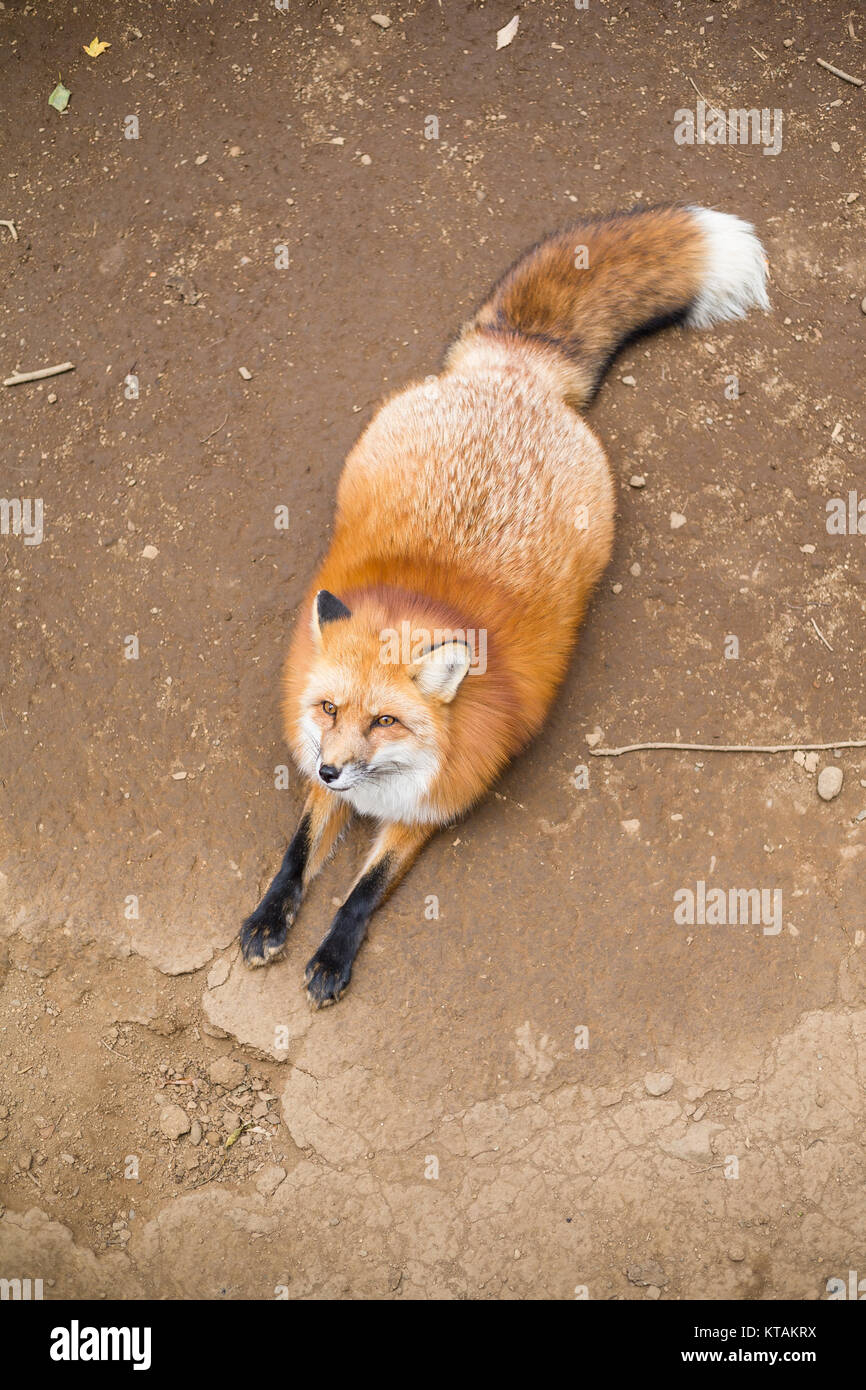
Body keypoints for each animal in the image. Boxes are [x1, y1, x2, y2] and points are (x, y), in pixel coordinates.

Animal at [240, 204, 770, 1006]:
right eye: (328, 709)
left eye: (385, 720)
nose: (331, 770)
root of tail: (514, 374)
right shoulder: (323, 772)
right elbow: (297, 851)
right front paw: (271, 918)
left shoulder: (434, 806)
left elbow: (365, 890)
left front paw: (332, 956)